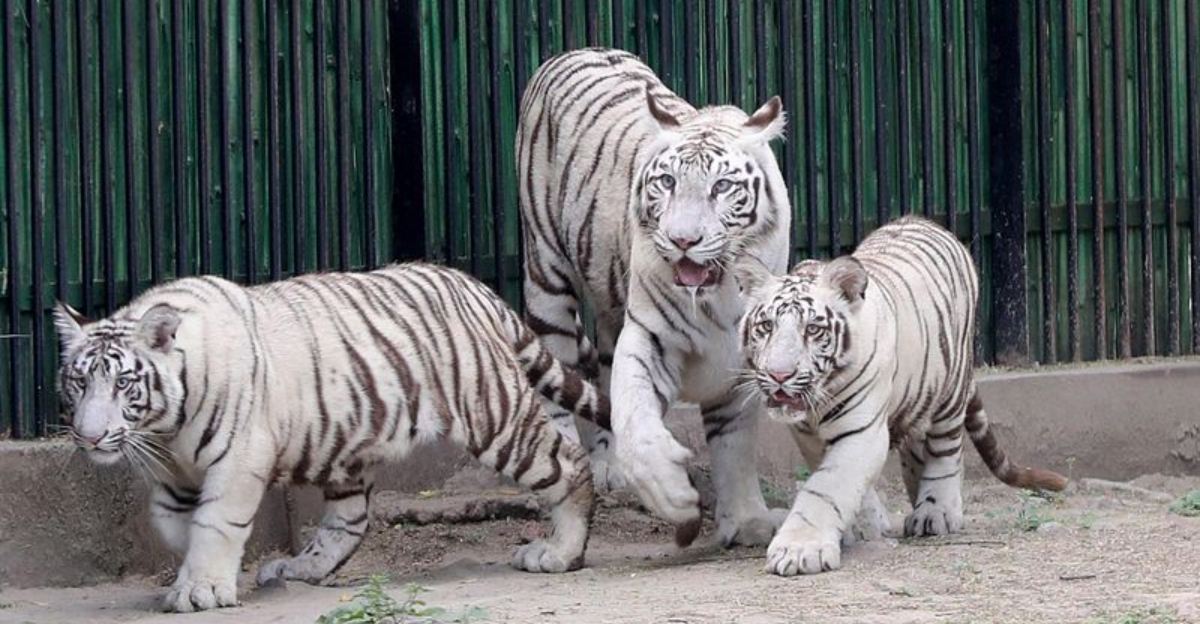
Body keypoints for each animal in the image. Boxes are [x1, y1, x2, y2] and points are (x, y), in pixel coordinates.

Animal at [53, 263, 608, 612]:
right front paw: (196, 570)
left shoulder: (238, 459)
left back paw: (561, 553)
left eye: (122, 384)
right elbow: (174, 524)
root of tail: (473, 286)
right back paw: (300, 569)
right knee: (351, 521)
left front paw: (202, 590)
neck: (165, 429)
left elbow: (217, 523)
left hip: (495, 415)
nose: (89, 437)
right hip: (346, 446)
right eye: (79, 382)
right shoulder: (173, 473)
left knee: (568, 462)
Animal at [518, 47, 802, 547]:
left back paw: (606, 465)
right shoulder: (649, 337)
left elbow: (735, 442)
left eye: (721, 187)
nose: (683, 240)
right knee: (559, 379)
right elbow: (639, 422)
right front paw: (672, 494)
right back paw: (574, 461)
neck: (717, 290)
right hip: (546, 275)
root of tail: (574, 51)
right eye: (666, 182)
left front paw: (746, 519)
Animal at [734, 216, 1069, 576]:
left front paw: (798, 549)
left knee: (946, 452)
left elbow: (826, 488)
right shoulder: (807, 436)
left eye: (813, 330)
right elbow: (844, 483)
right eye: (766, 327)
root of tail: (922, 220)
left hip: (950, 391)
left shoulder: (862, 431)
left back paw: (936, 511)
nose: (779, 375)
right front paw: (863, 525)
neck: (815, 408)